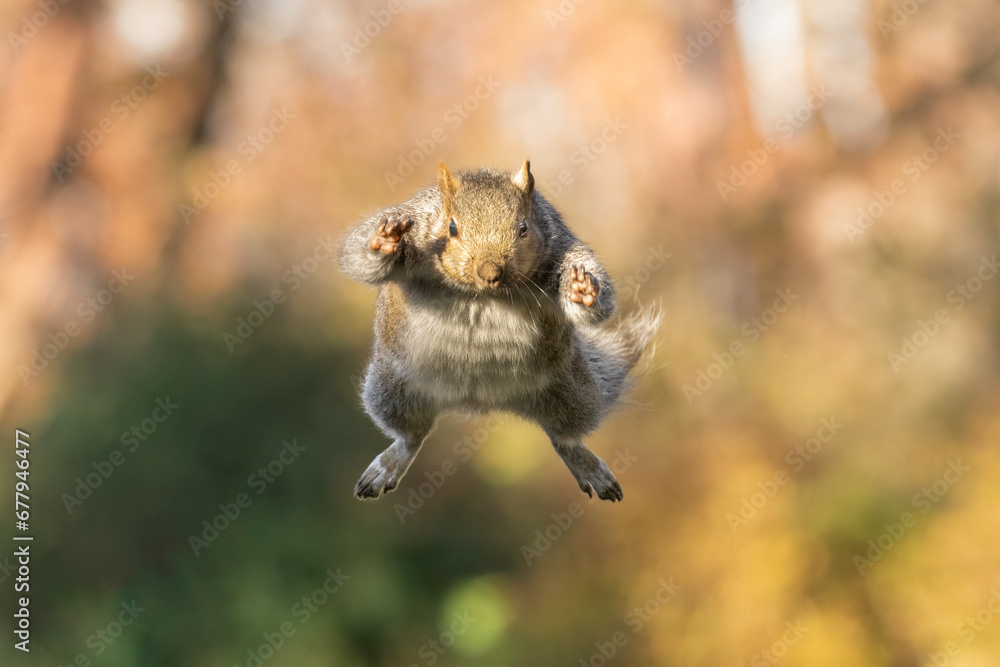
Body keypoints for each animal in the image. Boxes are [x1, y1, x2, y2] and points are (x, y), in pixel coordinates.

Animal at [338, 160, 661, 502]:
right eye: (451, 228)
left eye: (523, 228)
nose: (490, 272)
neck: (482, 293)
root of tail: (484, 401)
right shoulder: (417, 219)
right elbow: (357, 257)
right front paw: (385, 241)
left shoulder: (559, 244)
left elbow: (596, 301)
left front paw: (582, 290)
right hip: (393, 388)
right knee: (411, 436)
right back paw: (390, 464)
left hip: (572, 392)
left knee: (564, 438)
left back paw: (587, 466)